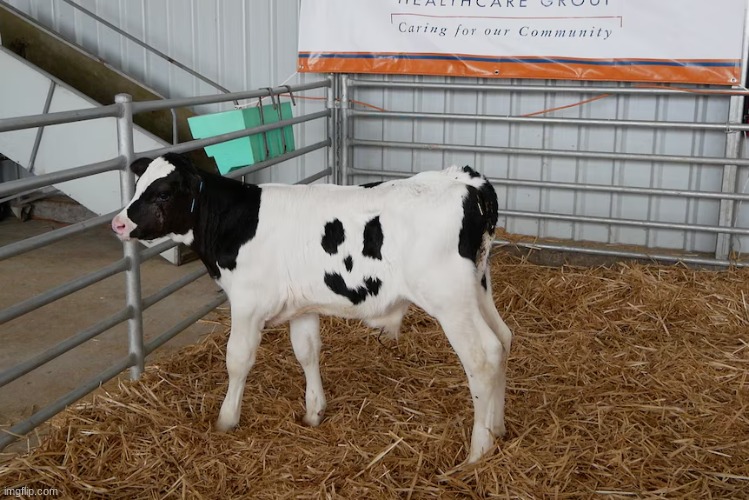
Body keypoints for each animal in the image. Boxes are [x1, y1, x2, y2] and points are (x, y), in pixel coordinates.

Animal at [111, 152, 512, 463]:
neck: (236, 221)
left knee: (482, 357)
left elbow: (237, 360)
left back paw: (478, 450)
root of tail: (463, 180)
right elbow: (307, 352)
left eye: (162, 192)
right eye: (138, 184)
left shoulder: (247, 303)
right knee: (503, 339)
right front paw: (314, 411)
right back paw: (498, 427)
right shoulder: (302, 306)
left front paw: (226, 420)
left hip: (449, 298)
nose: (119, 222)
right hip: (477, 288)